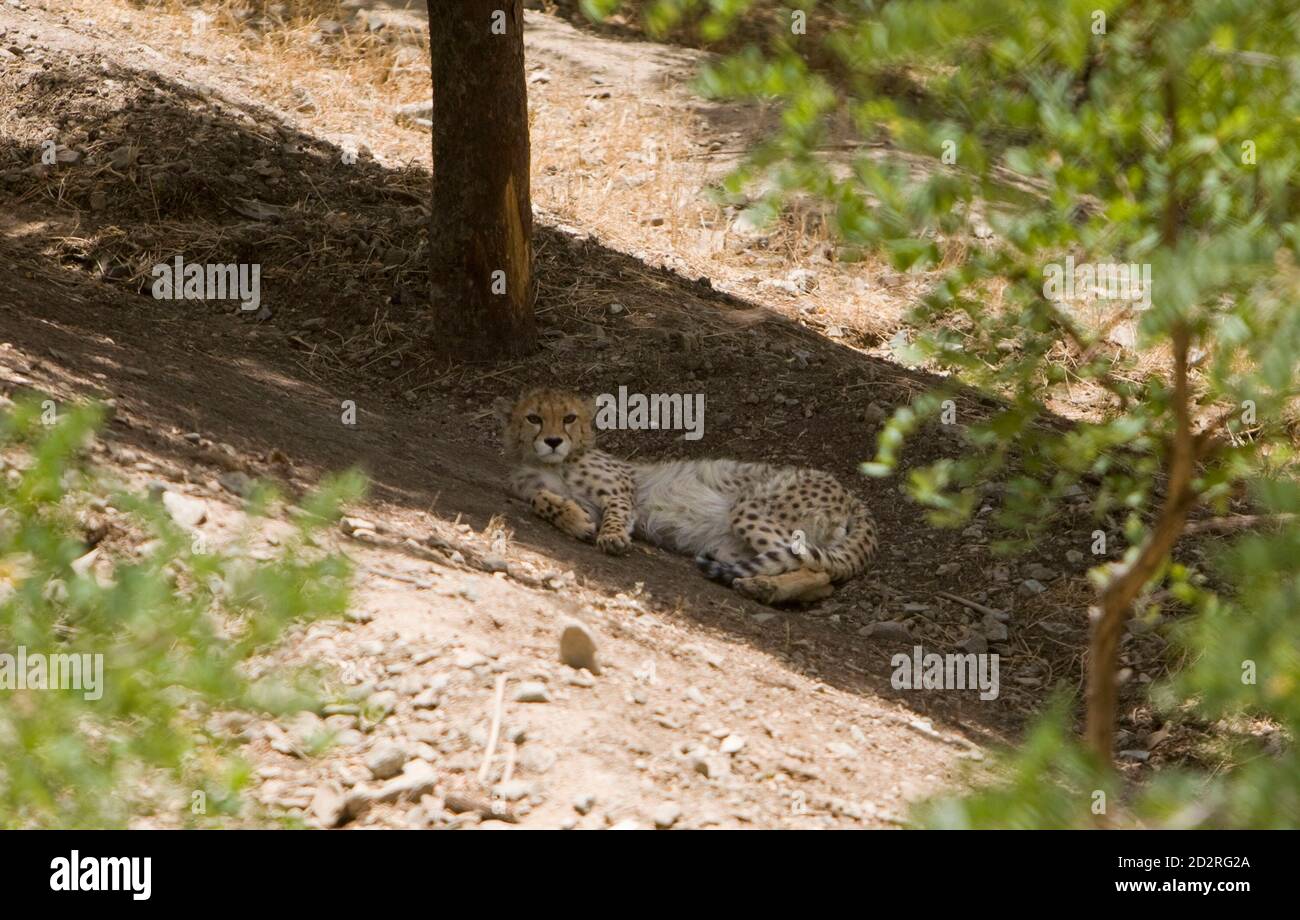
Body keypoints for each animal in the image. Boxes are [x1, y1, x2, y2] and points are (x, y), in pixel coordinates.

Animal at [497, 387, 878, 605]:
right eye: (534, 418)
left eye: (569, 418)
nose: (553, 441)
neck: (554, 463)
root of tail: (852, 495)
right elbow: (541, 499)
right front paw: (575, 520)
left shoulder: (622, 489)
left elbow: (616, 515)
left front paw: (611, 537)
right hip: (727, 546)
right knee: (820, 579)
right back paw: (767, 588)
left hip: (750, 510)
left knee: (818, 568)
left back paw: (763, 588)